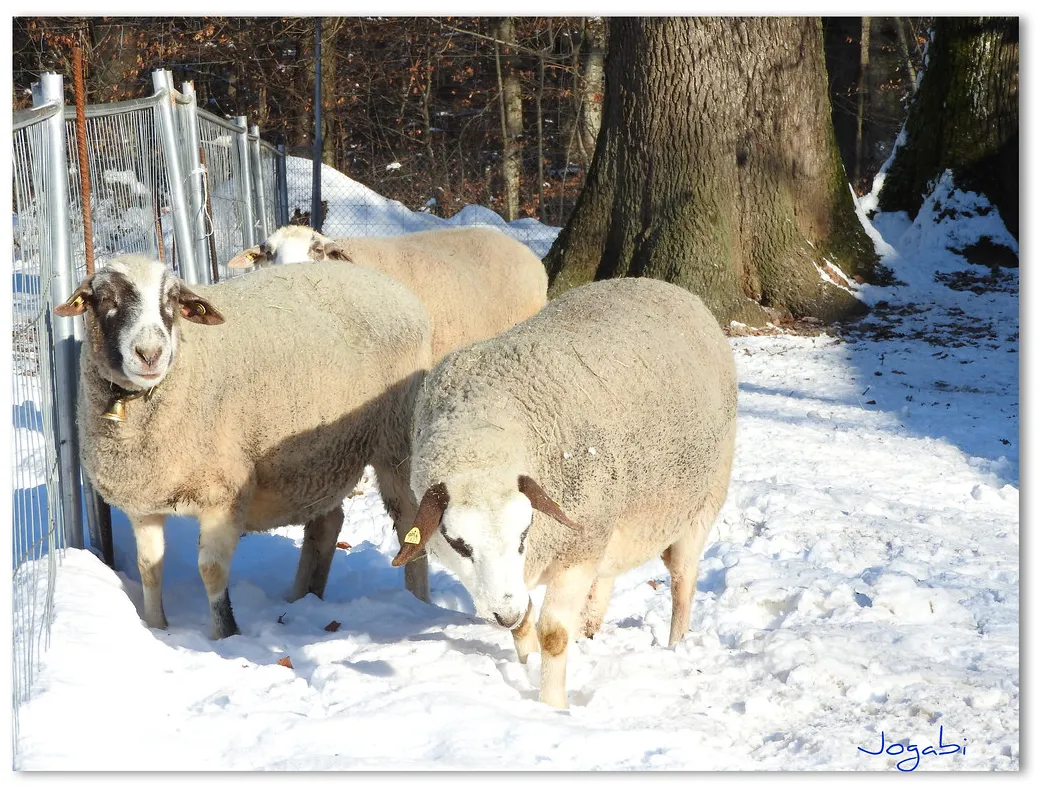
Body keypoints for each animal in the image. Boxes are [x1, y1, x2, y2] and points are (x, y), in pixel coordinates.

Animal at [54, 254, 432, 639]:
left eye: (171, 300)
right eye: (105, 299)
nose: (150, 354)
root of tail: (397, 290)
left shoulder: (223, 495)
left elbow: (211, 571)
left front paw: (225, 634)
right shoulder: (143, 504)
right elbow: (150, 568)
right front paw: (157, 628)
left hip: (396, 438)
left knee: (408, 522)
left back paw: (418, 602)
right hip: (322, 454)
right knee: (327, 523)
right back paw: (302, 598)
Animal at [391, 277, 738, 708]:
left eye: (523, 533)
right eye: (458, 545)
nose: (503, 614)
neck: (481, 441)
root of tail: (665, 286)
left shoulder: (576, 548)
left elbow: (553, 634)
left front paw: (551, 707)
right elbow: (523, 624)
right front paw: (525, 665)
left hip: (700, 501)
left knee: (683, 580)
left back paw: (676, 646)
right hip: (613, 511)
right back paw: (589, 629)